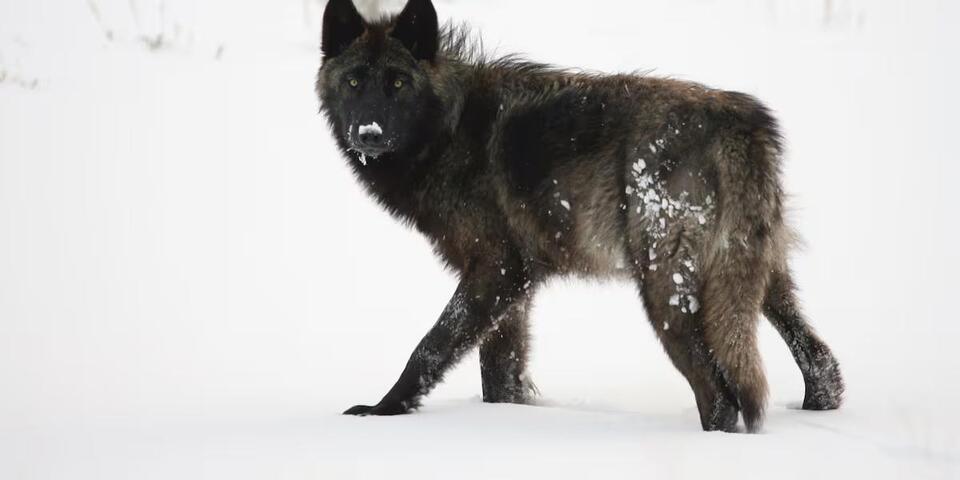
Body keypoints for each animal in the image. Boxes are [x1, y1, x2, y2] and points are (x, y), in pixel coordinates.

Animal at [316, 0, 844, 432]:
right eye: (354, 81)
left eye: (398, 83)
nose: (368, 133)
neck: (449, 128)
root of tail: (741, 123)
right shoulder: (515, 288)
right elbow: (499, 375)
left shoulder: (495, 270)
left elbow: (430, 346)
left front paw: (382, 411)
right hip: (759, 279)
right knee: (821, 362)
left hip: (665, 293)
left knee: (720, 396)